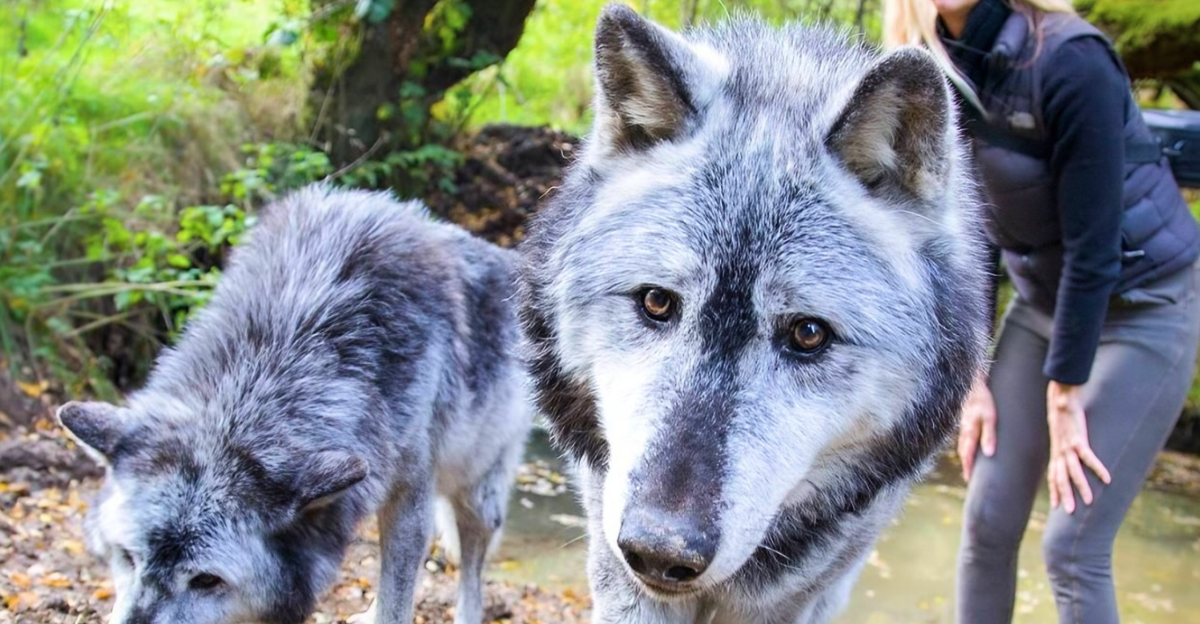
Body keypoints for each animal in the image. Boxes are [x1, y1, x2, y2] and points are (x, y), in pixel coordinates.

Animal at [57, 185, 531, 624]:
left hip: (477, 496)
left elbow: (398, 597)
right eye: (128, 557)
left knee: (469, 568)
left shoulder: (410, 491)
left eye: (207, 580)